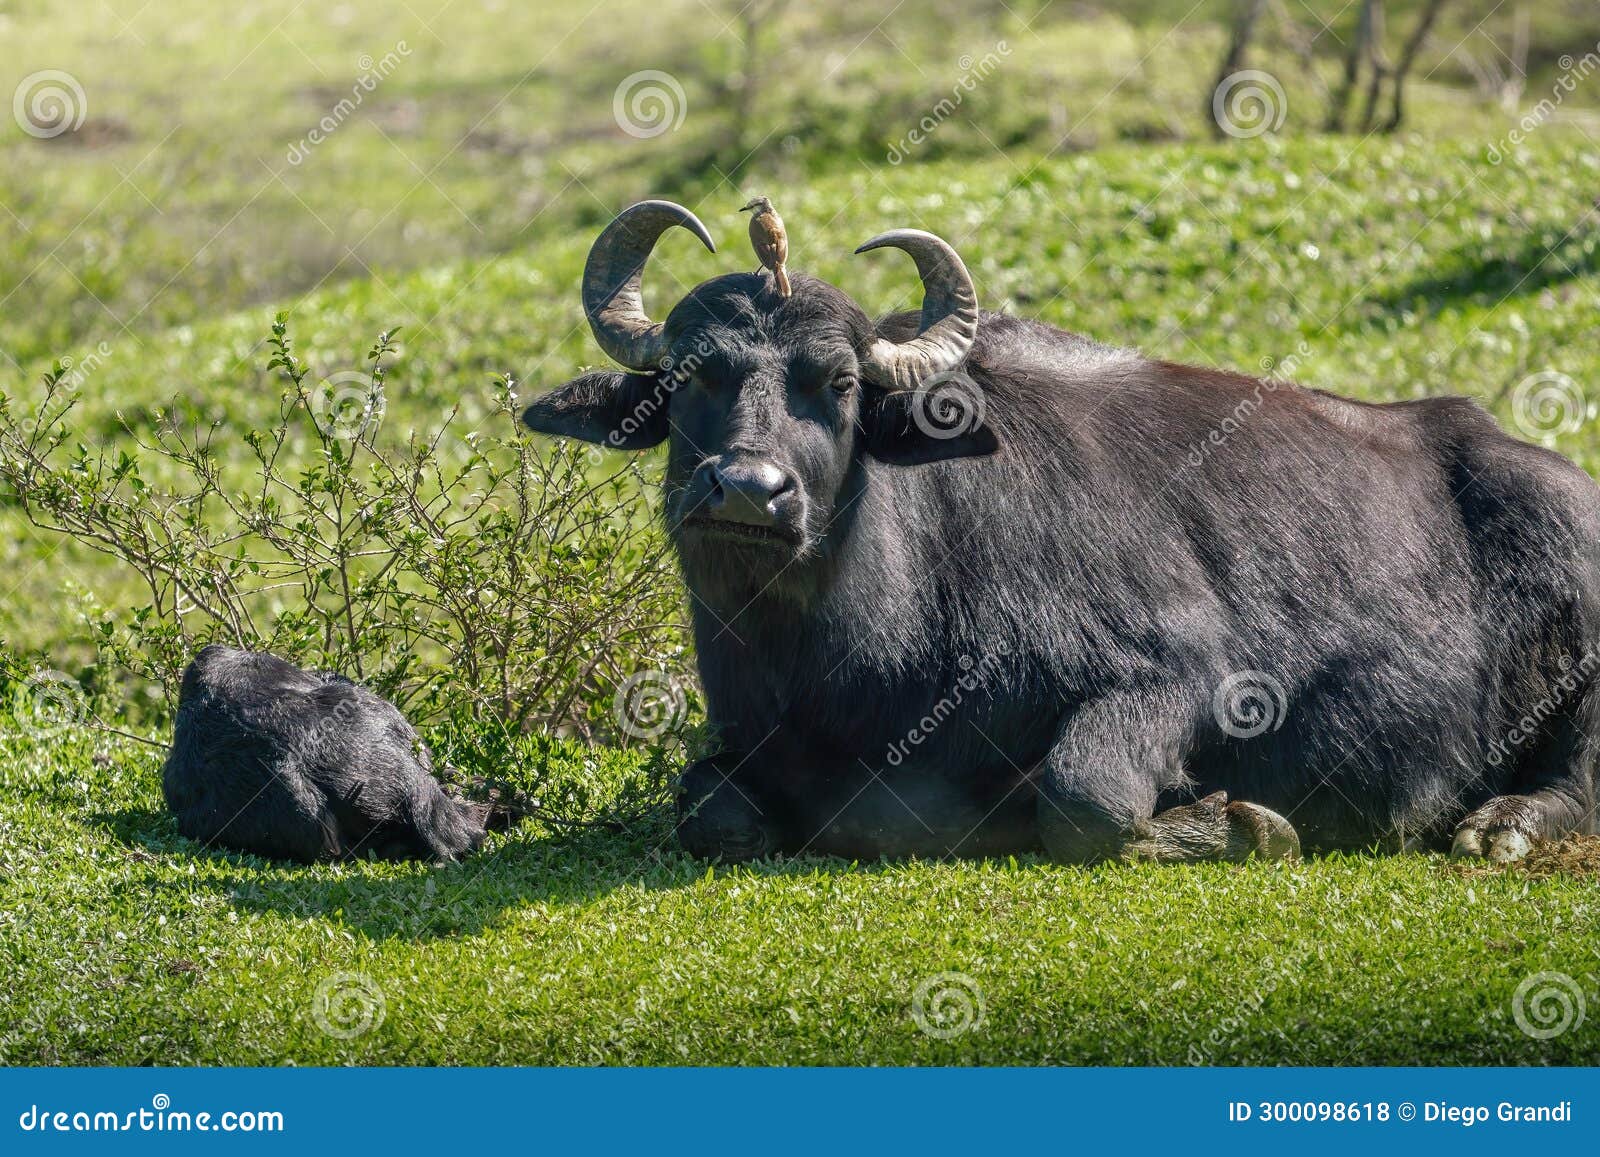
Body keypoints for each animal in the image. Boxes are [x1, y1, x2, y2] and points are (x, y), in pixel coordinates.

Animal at [522, 199, 1600, 865]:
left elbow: (1084, 798)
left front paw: (1244, 825)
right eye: (687, 377)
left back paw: (1500, 824)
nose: (749, 489)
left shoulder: (1191, 673)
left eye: (837, 385)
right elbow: (708, 809)